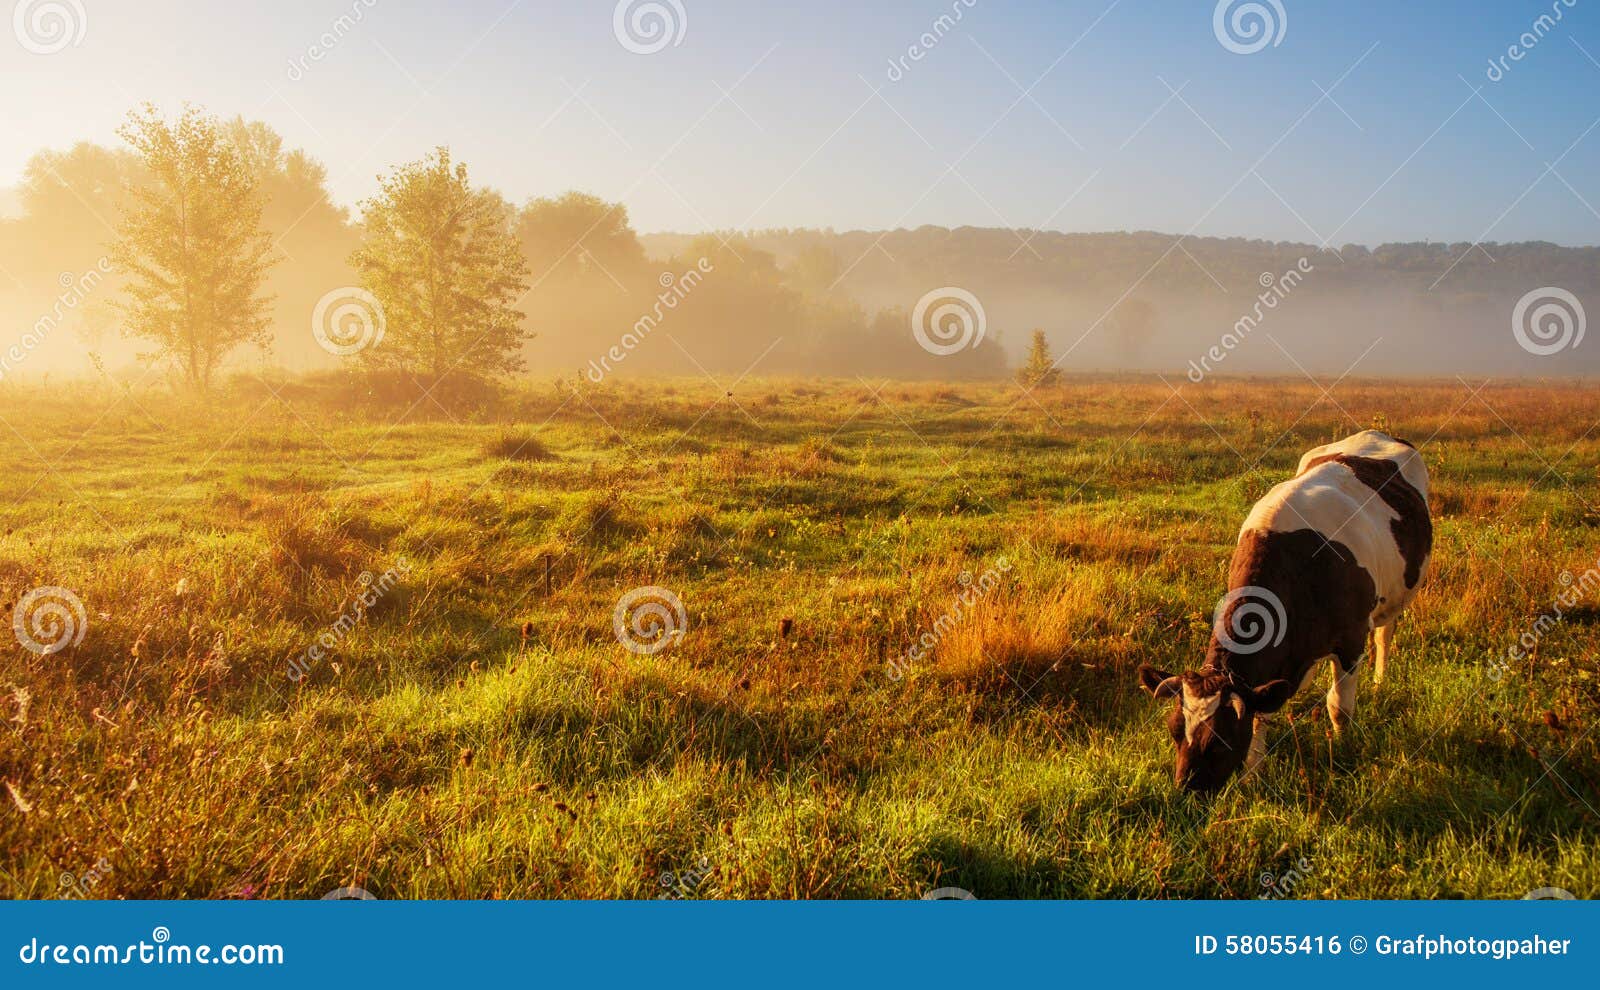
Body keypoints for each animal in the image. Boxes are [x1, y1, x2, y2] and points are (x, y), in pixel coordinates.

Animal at [1137, 430, 1432, 793]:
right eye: (1175, 730)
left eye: (1221, 741)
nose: (1186, 789)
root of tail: (1376, 433)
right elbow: (1261, 714)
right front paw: (1253, 774)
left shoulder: (1350, 641)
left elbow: (1339, 707)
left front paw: (1343, 749)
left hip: (1397, 596)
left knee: (1384, 636)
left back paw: (1379, 681)